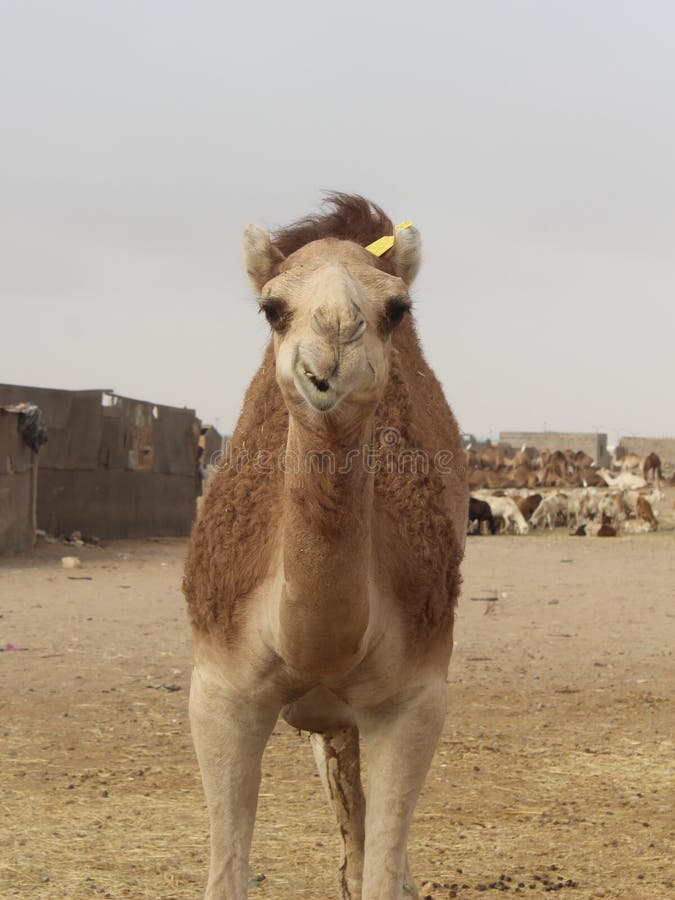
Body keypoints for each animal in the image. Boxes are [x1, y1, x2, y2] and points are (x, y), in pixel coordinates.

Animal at [183, 194, 468, 900]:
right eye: (272, 307)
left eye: (397, 309)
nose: (334, 337)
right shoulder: (219, 693)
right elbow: (226, 874)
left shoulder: (416, 697)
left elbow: (382, 872)